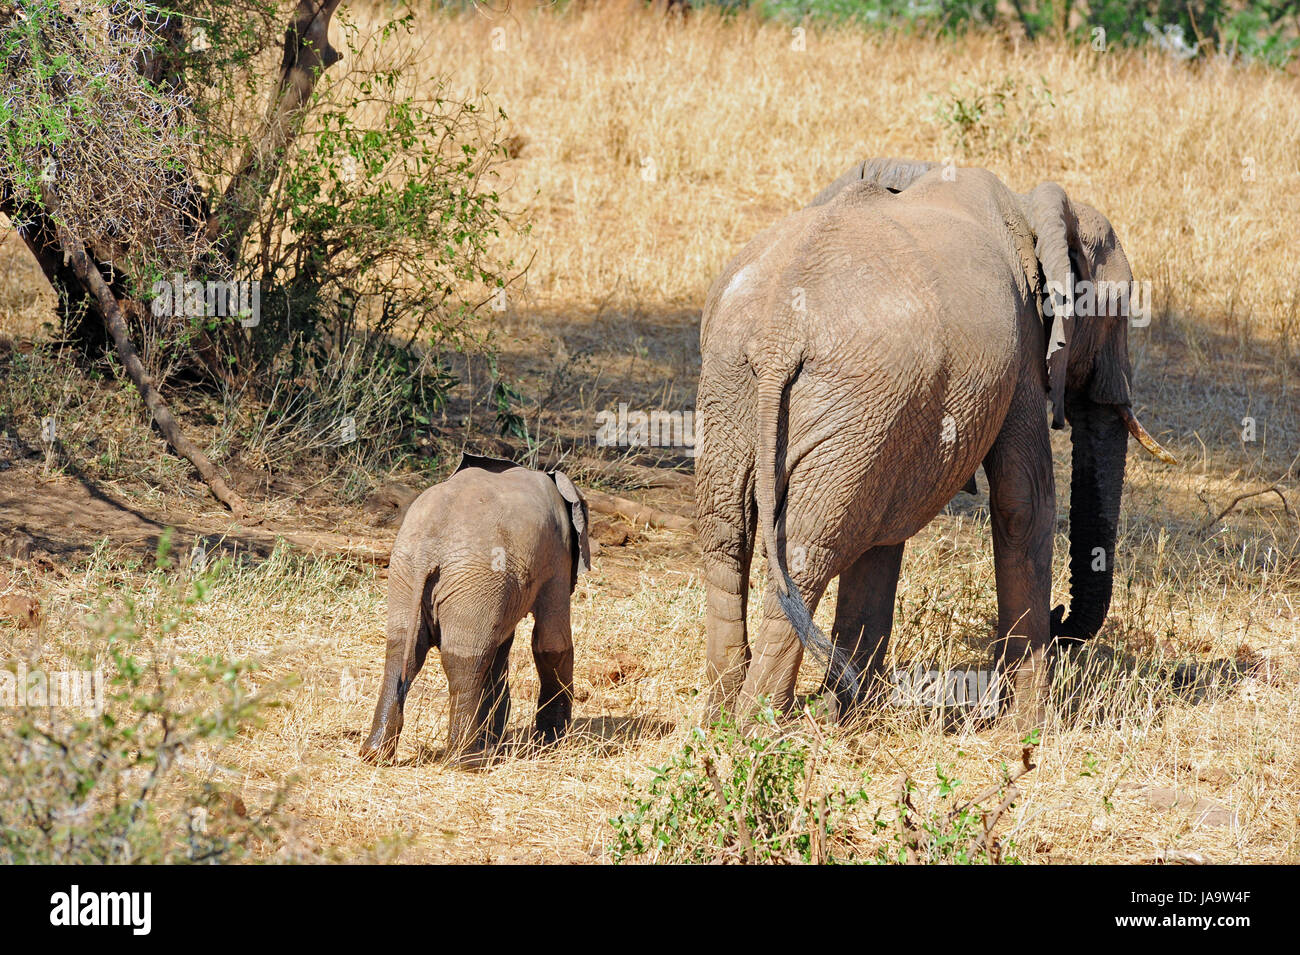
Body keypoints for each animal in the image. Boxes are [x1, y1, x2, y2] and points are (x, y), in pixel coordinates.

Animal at [359, 452, 590, 765]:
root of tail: (429, 548)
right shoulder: (557, 556)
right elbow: (551, 643)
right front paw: (550, 744)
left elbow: (501, 649)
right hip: (471, 578)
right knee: (465, 662)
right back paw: (467, 761)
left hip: (407, 574)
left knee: (402, 652)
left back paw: (375, 754)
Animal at [694, 157, 1174, 725]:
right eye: (1118, 314)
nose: (1061, 625)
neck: (1029, 206)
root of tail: (778, 335)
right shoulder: (1021, 350)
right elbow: (1024, 502)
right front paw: (1028, 726)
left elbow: (884, 531)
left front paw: (849, 713)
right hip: (841, 396)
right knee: (809, 548)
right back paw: (760, 723)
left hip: (743, 387)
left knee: (729, 532)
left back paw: (725, 710)